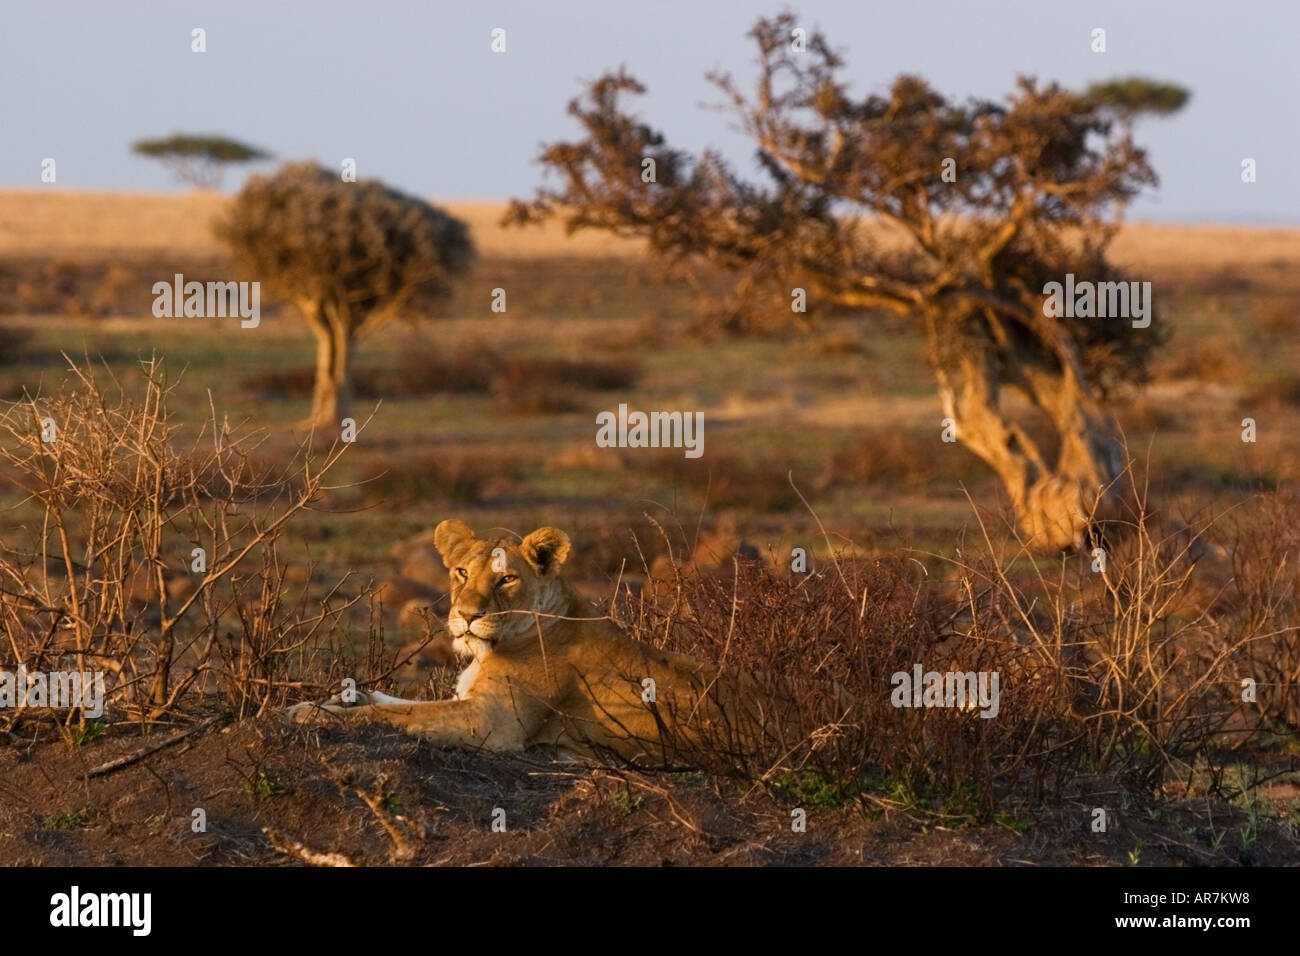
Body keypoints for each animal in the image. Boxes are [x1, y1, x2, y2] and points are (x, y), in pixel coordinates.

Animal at [287, 520, 851, 767]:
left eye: (506, 579)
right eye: (461, 572)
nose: (466, 617)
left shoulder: (490, 725)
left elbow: (399, 715)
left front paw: (311, 714)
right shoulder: (469, 701)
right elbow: (396, 700)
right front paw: (339, 696)